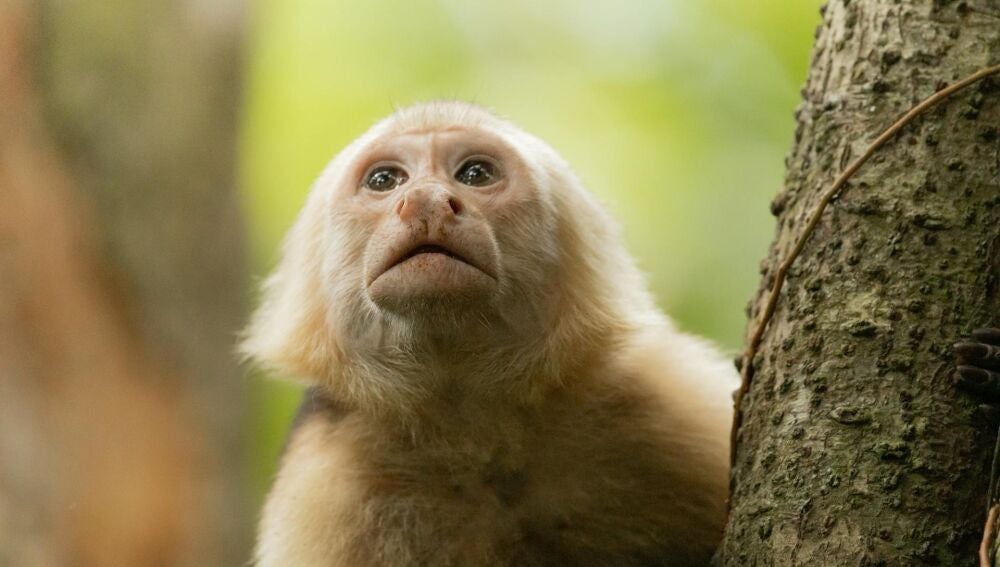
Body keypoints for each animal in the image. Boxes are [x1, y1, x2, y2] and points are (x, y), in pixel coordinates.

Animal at [242, 100, 738, 566]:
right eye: (385, 180)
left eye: (475, 174)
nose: (426, 200)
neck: (474, 435)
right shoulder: (323, 488)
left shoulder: (661, 397)